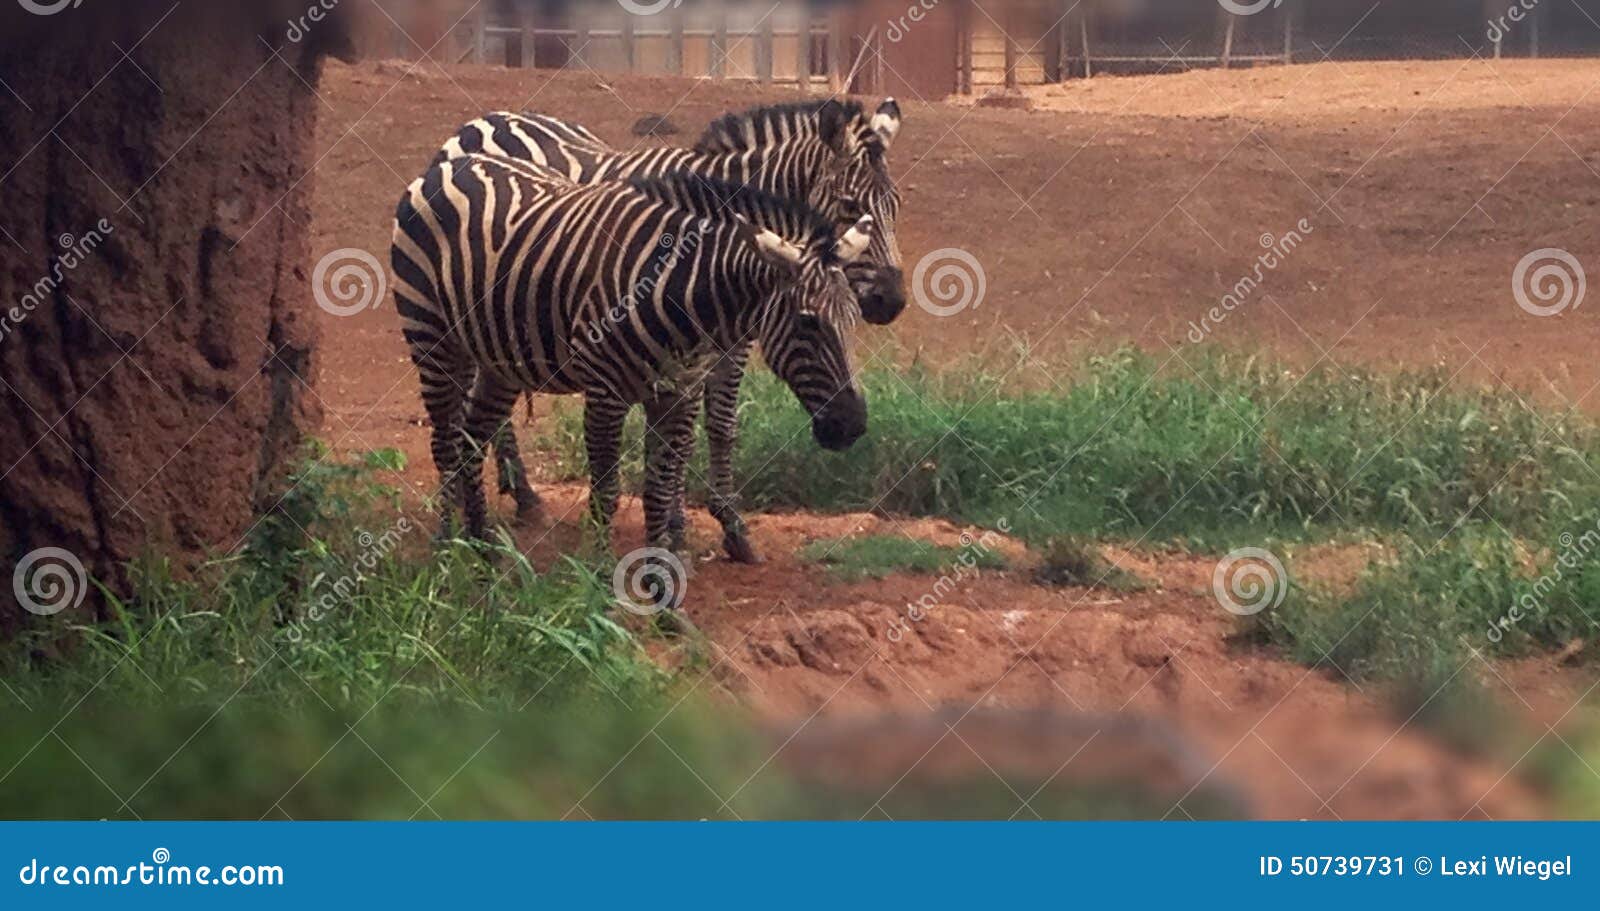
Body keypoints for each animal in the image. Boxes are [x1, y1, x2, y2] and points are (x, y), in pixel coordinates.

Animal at [433, 99, 906, 563]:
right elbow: (686, 435)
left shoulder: (730, 341)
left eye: (896, 206)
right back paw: (503, 496)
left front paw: (728, 527)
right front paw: (678, 528)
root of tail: (483, 119)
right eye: (849, 205)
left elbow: (719, 425)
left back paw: (517, 495)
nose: (893, 301)